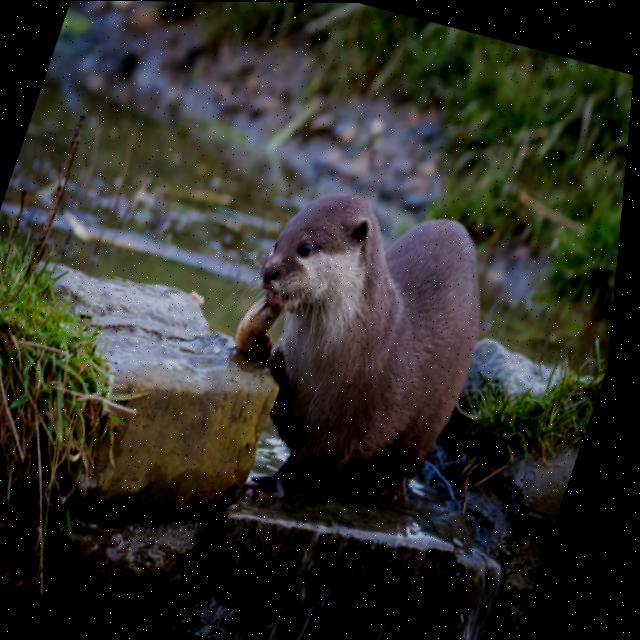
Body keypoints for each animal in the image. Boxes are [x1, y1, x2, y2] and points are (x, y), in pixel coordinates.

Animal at [238, 194, 479, 502]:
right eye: (276, 244)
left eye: (305, 248)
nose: (269, 271)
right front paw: (261, 347)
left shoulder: (351, 405)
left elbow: (311, 461)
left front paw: (267, 487)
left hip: (430, 424)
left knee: (400, 466)